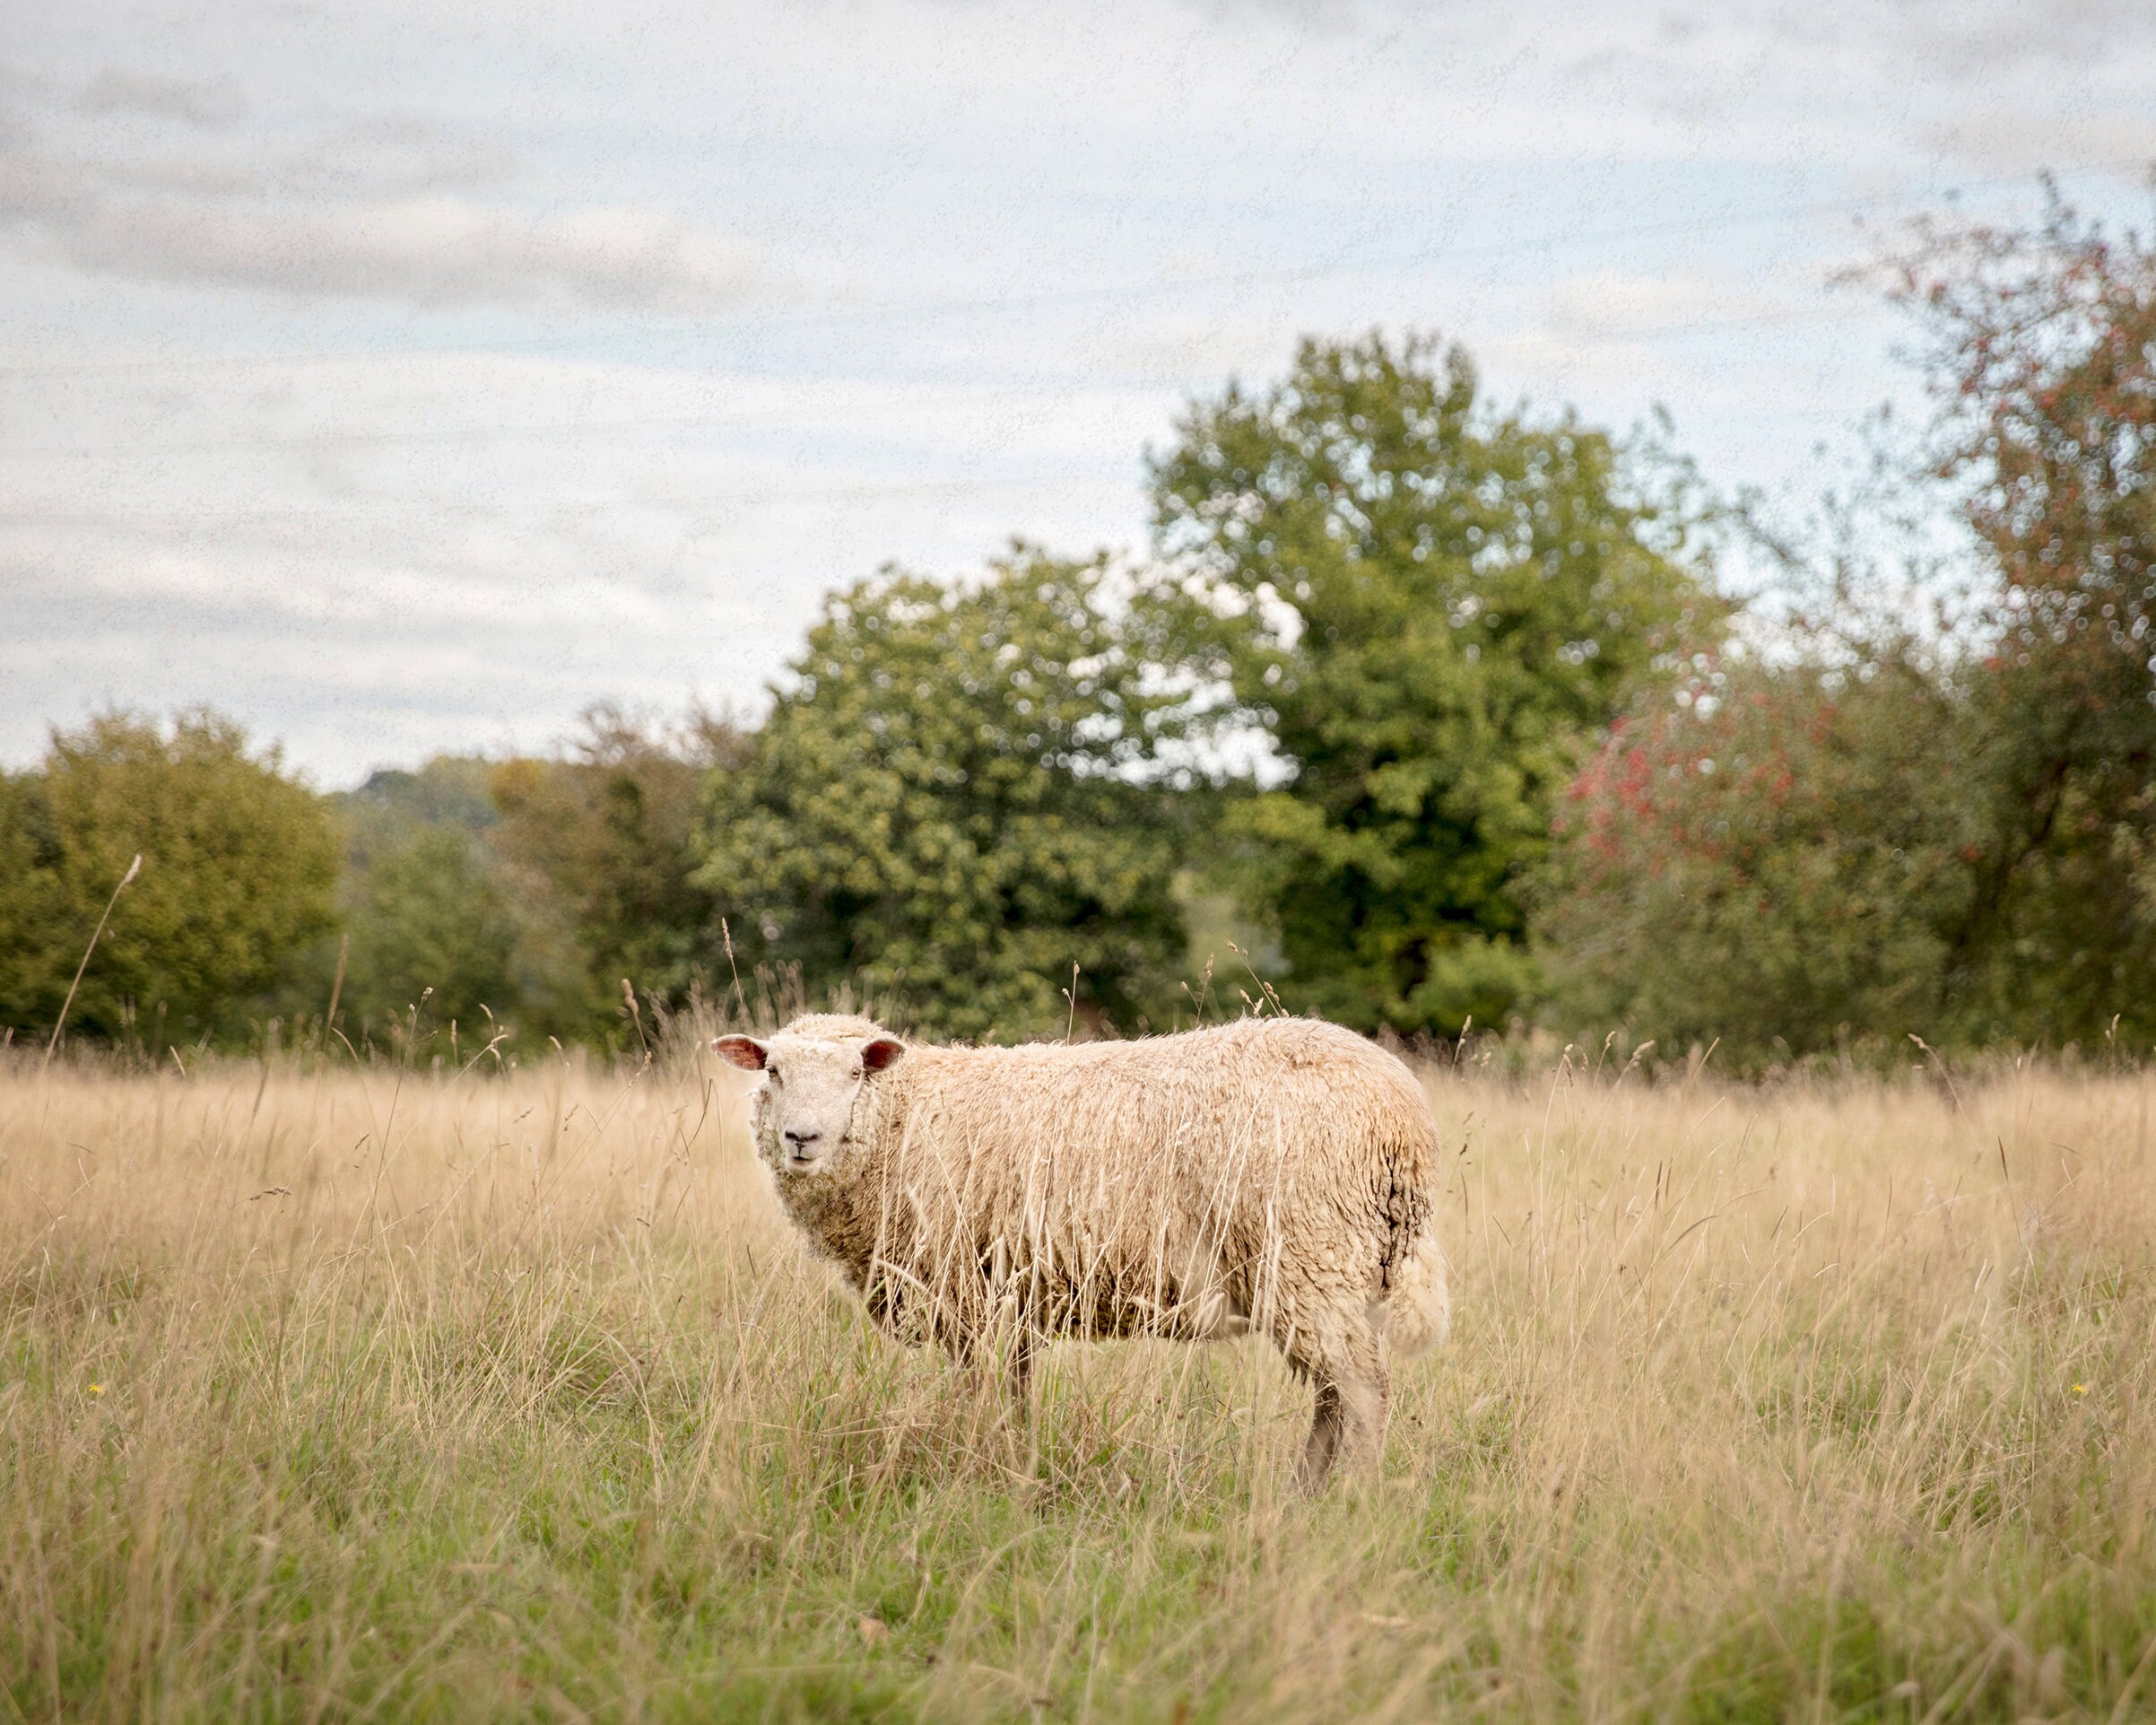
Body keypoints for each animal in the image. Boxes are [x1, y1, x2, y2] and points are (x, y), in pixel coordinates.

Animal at [712, 1011, 1451, 1487]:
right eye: (771, 1070)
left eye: (856, 1072)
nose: (801, 1137)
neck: (910, 1112)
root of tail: (1406, 1118)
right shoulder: (1008, 1298)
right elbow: (1013, 1392)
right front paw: (1015, 1467)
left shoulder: (966, 1291)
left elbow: (979, 1393)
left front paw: (976, 1472)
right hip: (1318, 1272)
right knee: (1333, 1395)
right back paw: (1306, 1492)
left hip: (1312, 1253)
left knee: (1363, 1391)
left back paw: (1354, 1499)